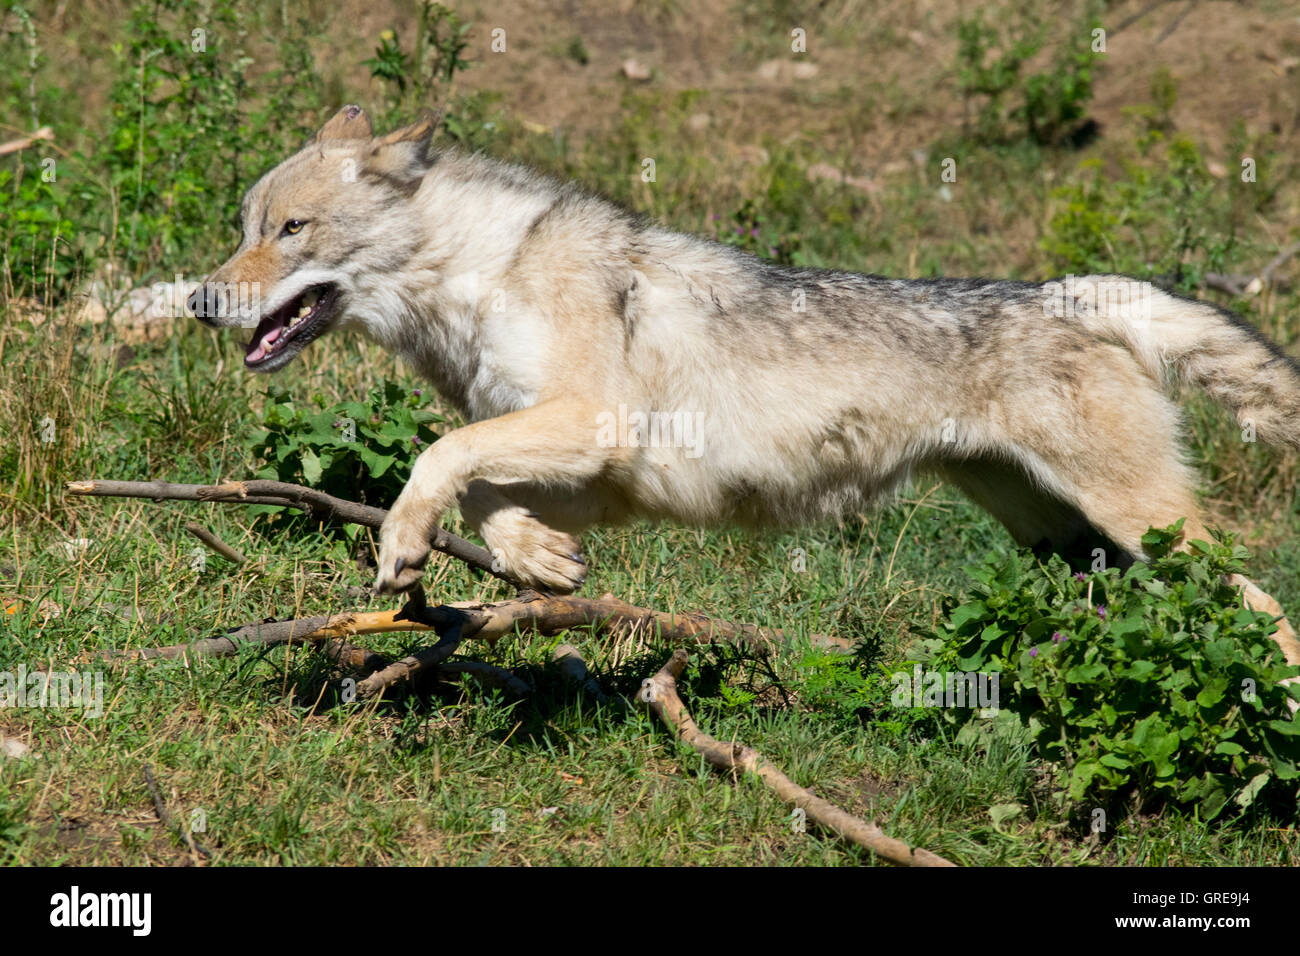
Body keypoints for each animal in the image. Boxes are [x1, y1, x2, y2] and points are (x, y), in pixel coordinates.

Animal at [189, 105, 1300, 666]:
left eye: (289, 229)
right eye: (246, 226)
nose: (200, 300)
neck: (484, 272)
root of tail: (1067, 292)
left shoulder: (591, 424)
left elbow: (436, 457)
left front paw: (403, 545)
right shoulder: (594, 470)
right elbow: (487, 498)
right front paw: (541, 563)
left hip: (1143, 528)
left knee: (1265, 605)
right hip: (1070, 544)